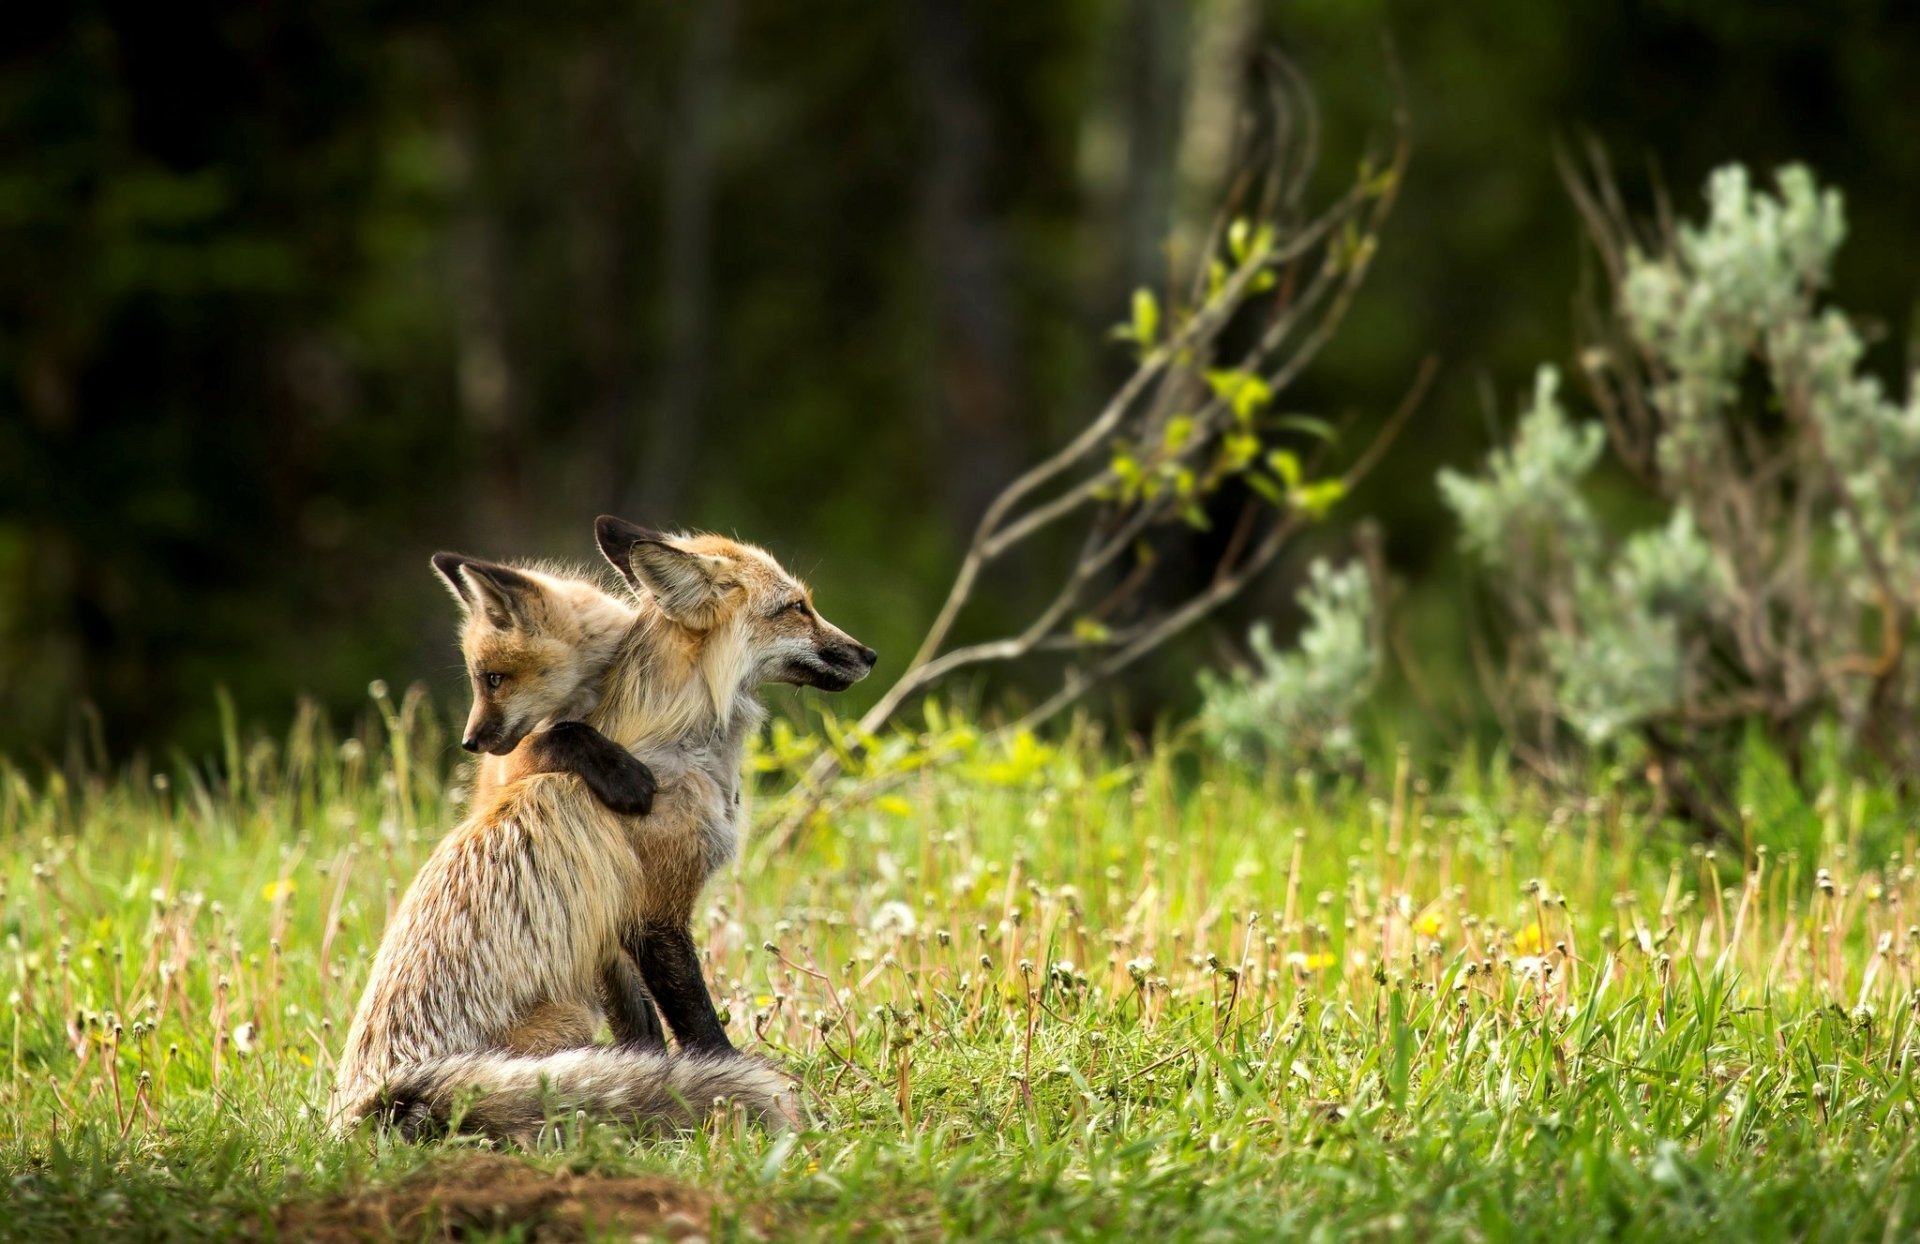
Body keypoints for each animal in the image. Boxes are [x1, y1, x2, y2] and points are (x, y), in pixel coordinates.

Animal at [329, 519, 876, 1142]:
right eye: (796, 608)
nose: (870, 655)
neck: (676, 744)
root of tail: (371, 1101)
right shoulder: (656, 911)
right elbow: (700, 1026)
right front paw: (725, 1077)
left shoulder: (612, 935)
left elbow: (644, 1035)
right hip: (568, 1015)